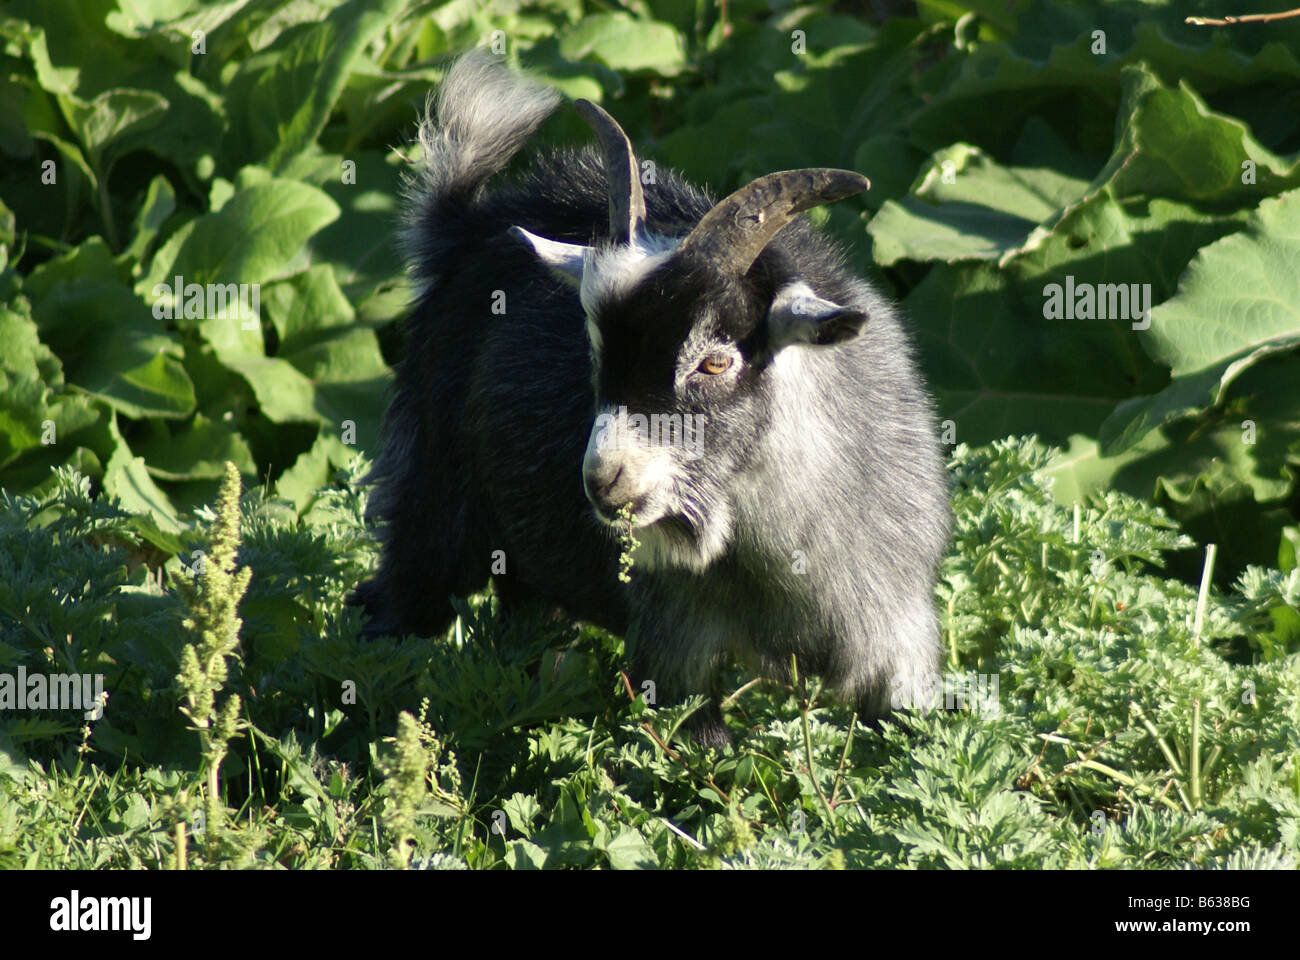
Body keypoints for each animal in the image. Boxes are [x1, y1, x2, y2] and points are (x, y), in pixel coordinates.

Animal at [351, 51, 952, 746]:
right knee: (397, 602)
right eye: (591, 339)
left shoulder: (897, 641)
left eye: (716, 360)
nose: (603, 478)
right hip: (434, 496)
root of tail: (464, 229)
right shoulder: (676, 648)